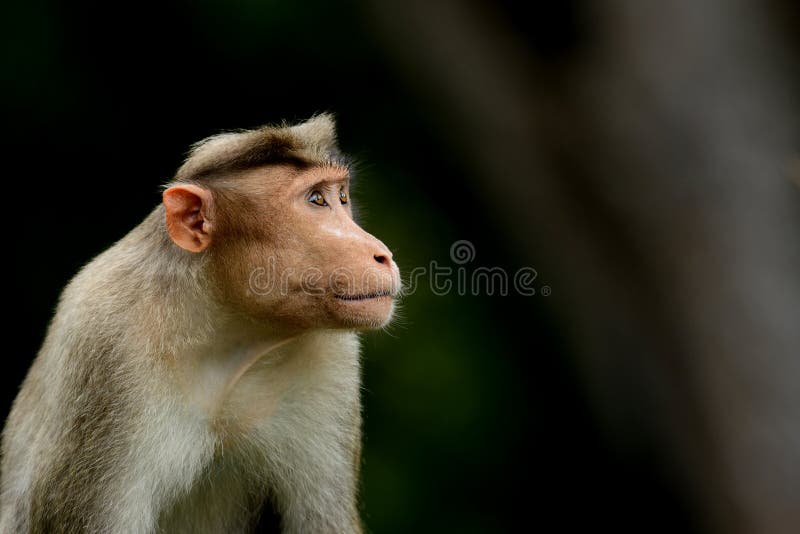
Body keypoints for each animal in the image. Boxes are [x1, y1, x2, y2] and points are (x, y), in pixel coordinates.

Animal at [0, 114, 400, 533]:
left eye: (342, 198)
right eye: (316, 200)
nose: (383, 254)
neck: (227, 329)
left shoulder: (332, 355)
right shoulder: (105, 349)